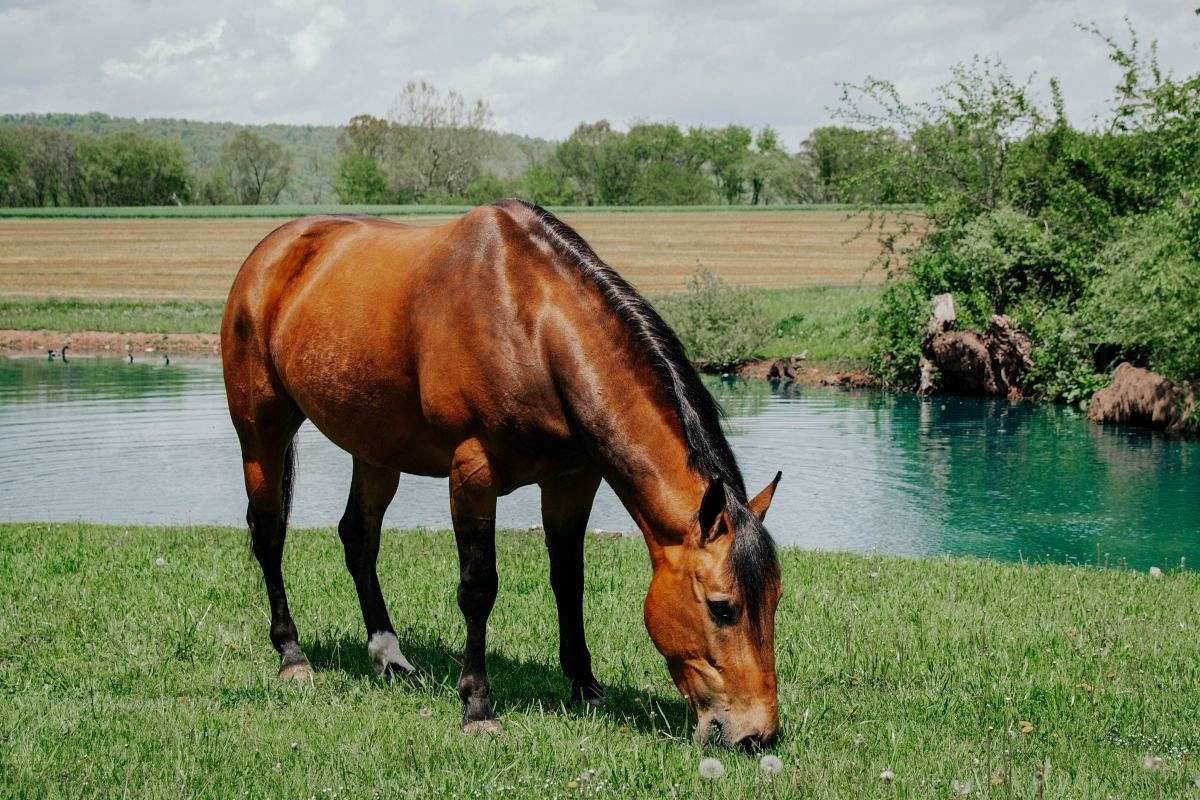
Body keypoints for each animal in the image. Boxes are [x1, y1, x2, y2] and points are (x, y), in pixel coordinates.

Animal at [220, 199, 783, 747]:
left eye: (775, 599)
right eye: (723, 608)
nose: (756, 735)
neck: (532, 325)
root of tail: (271, 252)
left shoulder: (571, 479)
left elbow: (569, 579)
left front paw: (585, 687)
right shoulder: (472, 474)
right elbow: (478, 588)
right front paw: (476, 706)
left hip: (376, 449)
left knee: (358, 537)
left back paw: (390, 657)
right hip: (262, 431)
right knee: (269, 534)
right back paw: (292, 656)